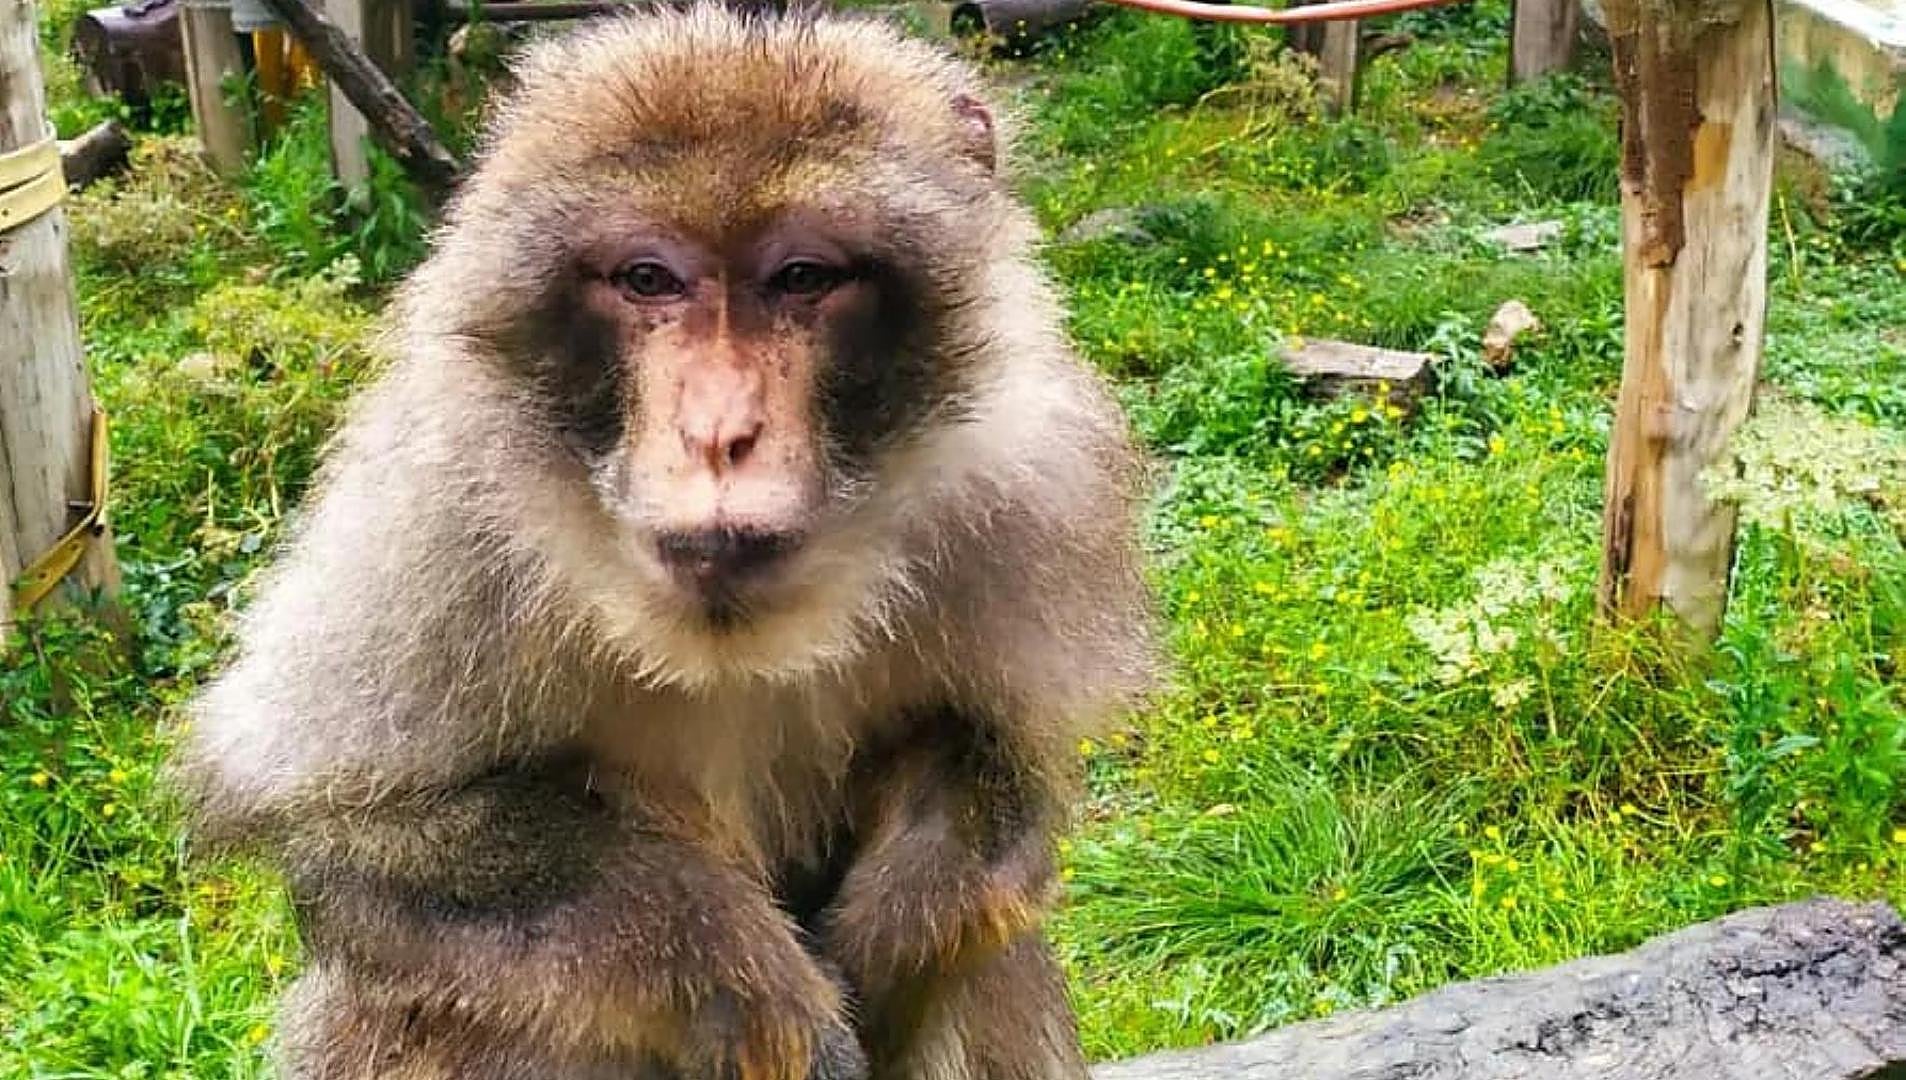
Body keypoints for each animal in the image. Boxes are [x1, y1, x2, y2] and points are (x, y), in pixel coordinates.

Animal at [175, 6, 1156, 1079]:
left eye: (802, 278)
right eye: (649, 279)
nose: (718, 432)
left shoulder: (1035, 487)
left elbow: (1000, 757)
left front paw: (904, 915)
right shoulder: (431, 525)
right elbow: (348, 839)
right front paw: (741, 980)